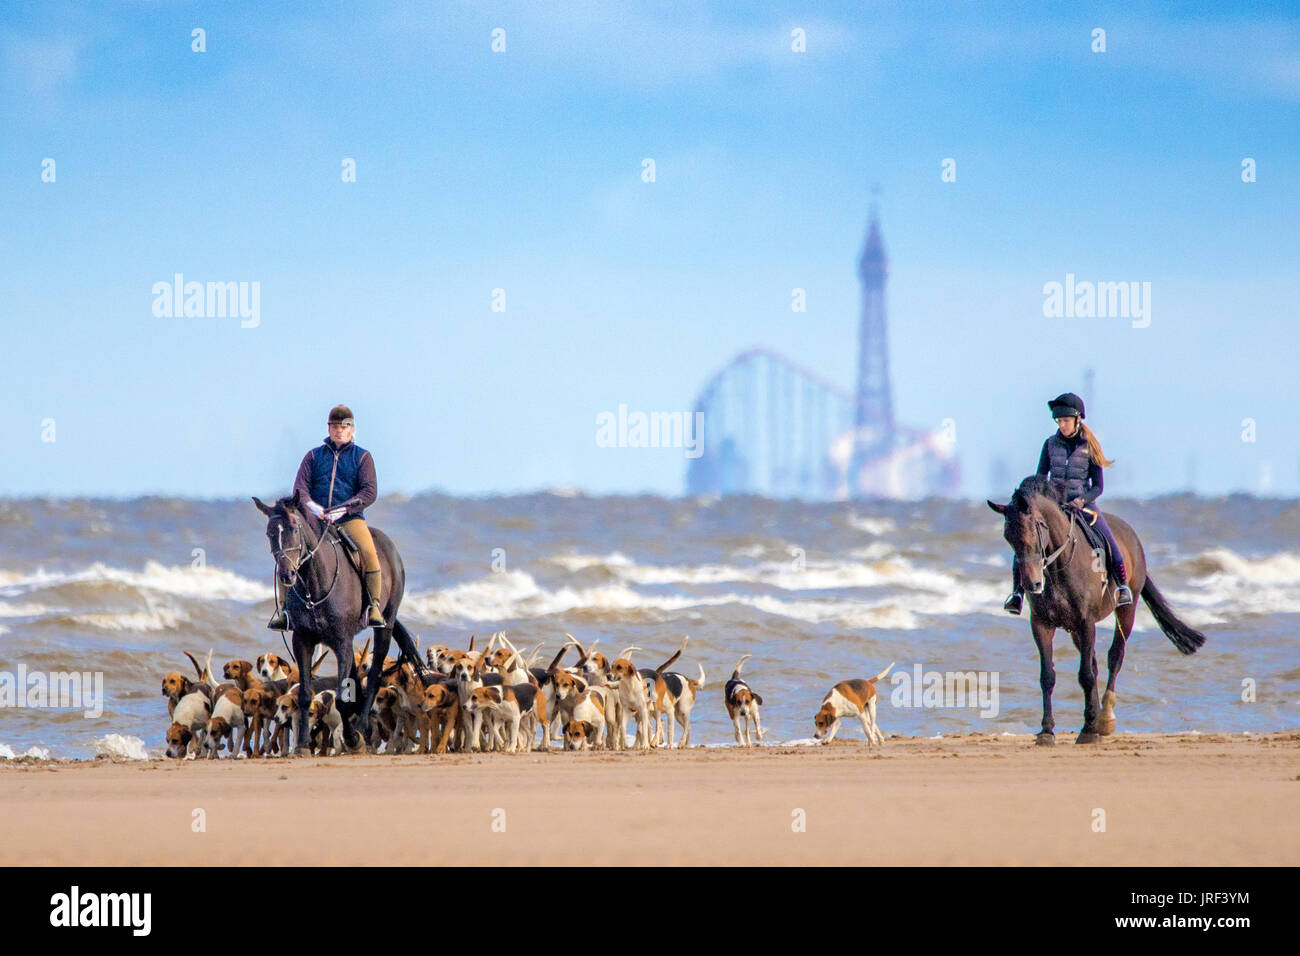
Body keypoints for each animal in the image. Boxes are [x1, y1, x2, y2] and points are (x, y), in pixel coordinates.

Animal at [253, 491, 428, 751]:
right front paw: (303, 743)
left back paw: (362, 726)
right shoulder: (303, 640)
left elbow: (342, 698)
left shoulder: (342, 640)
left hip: (384, 625)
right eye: (270, 533)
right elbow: (304, 694)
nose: (286, 574)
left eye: (294, 528)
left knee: (374, 674)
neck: (314, 586)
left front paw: (353, 737)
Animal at [988, 475, 1206, 745]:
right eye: (1008, 537)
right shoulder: (1041, 624)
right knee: (1093, 662)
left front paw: (1090, 730)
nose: (1032, 584)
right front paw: (1047, 731)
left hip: (1126, 611)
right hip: (1075, 631)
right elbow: (1048, 676)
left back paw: (1105, 719)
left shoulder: (1086, 621)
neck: (1059, 567)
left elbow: (1086, 674)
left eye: (1036, 528)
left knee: (1115, 657)